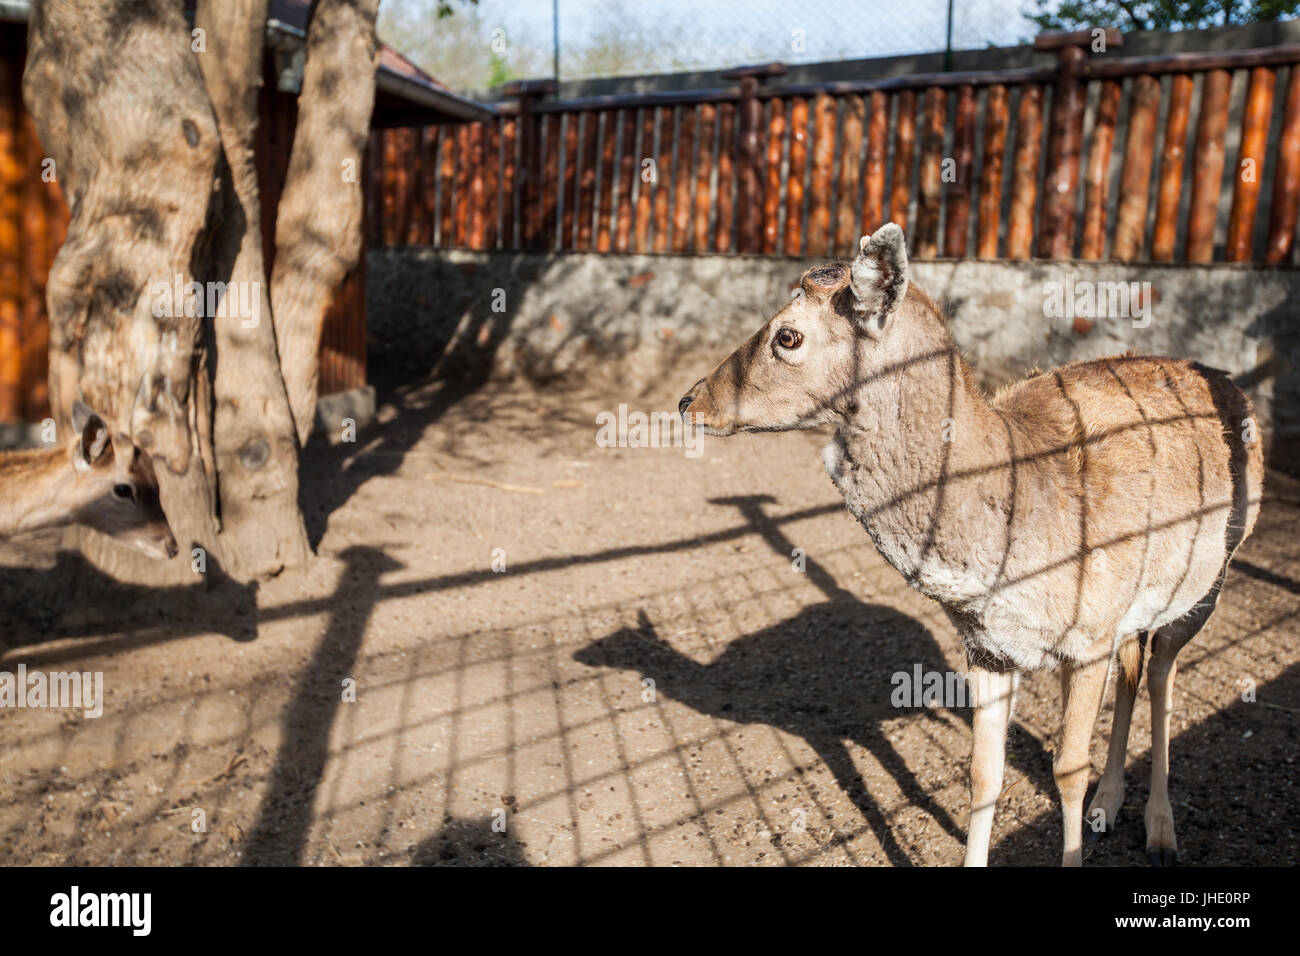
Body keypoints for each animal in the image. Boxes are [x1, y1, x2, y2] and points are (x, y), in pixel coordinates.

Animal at [679, 223, 1263, 867]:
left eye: (787, 335)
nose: (689, 402)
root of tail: (1232, 385)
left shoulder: (1089, 635)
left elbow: (1067, 769)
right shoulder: (989, 646)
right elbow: (984, 772)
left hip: (1207, 583)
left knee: (1162, 673)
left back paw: (1161, 829)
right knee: (1136, 667)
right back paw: (1109, 806)